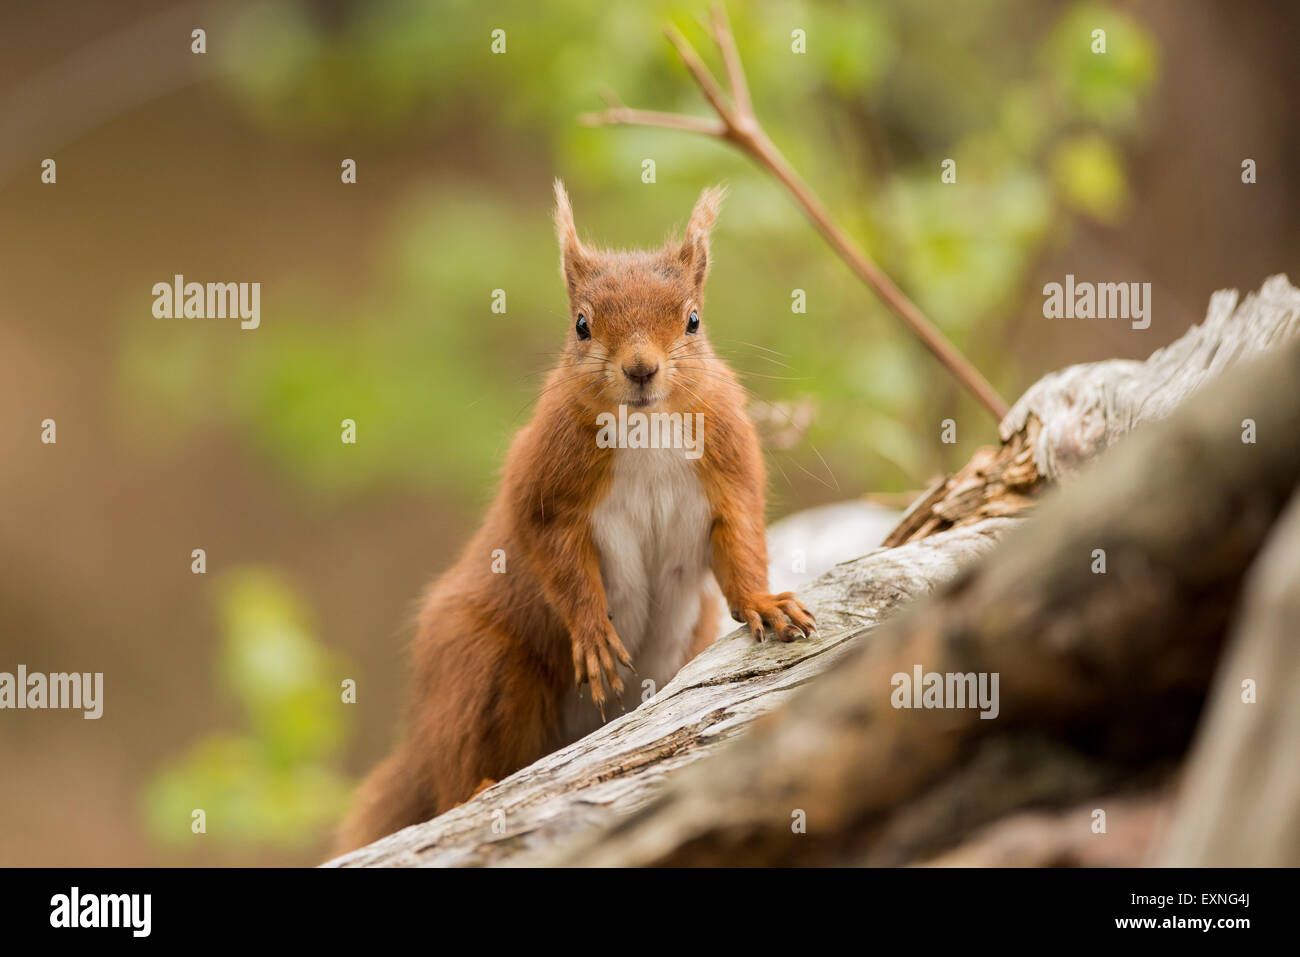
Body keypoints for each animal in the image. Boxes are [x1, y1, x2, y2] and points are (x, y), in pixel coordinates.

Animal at [335, 181, 816, 853]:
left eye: (693, 319)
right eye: (582, 325)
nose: (641, 369)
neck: (646, 427)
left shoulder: (730, 470)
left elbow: (741, 541)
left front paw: (766, 604)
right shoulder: (545, 487)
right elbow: (557, 559)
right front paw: (592, 634)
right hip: (477, 664)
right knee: (452, 768)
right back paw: (473, 789)